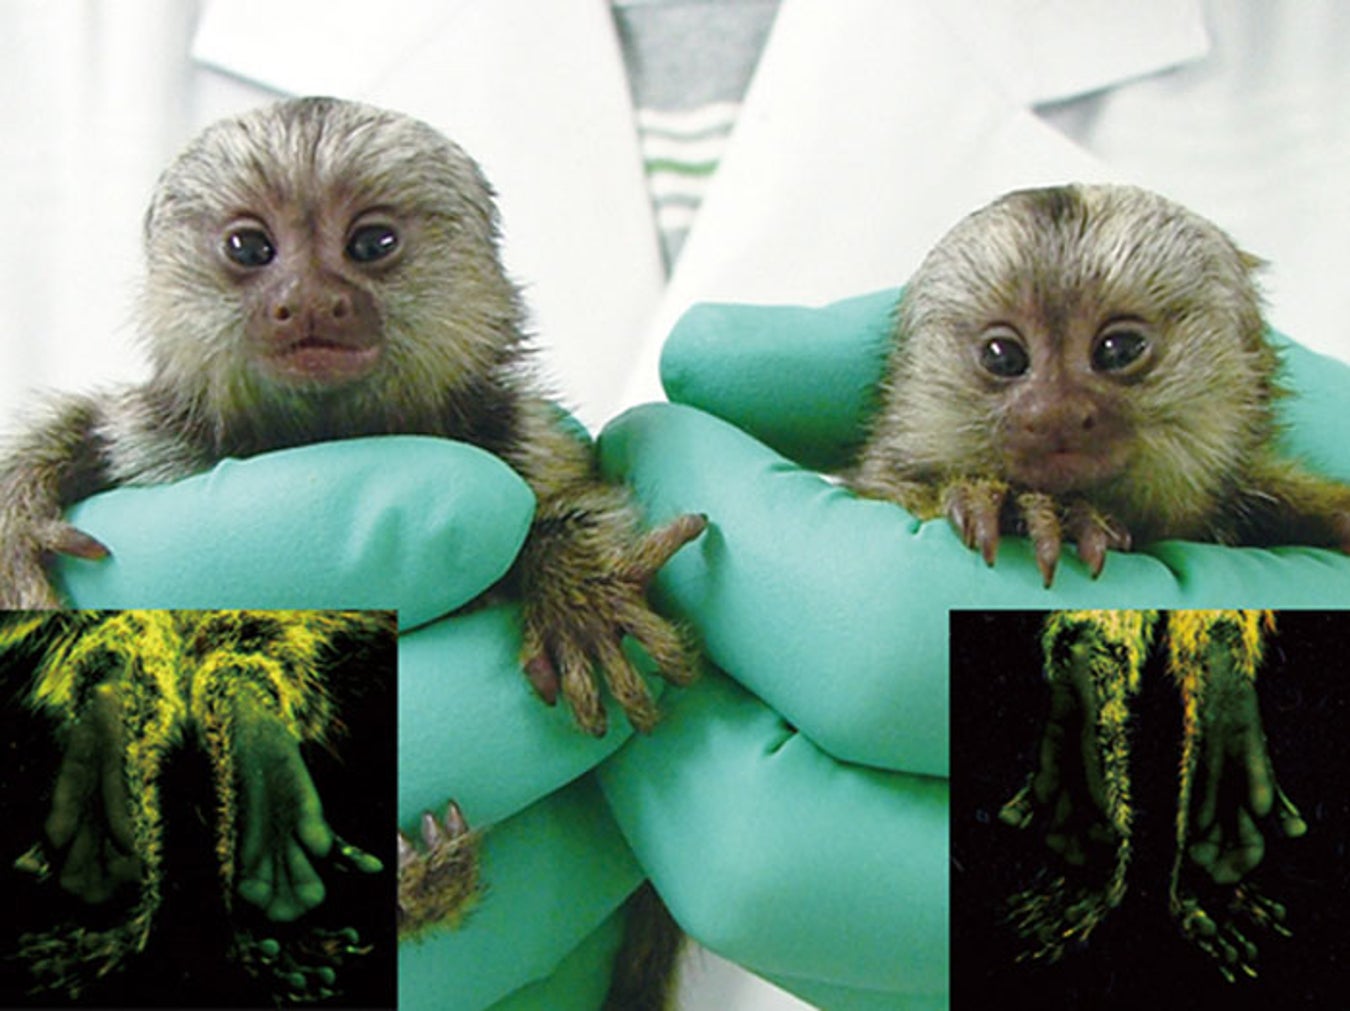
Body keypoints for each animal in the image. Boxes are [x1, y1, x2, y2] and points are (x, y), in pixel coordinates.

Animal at [0, 98, 705, 955]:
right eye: (250, 247)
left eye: (370, 244)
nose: (308, 298)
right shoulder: (154, 445)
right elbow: (84, 432)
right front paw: (18, 518)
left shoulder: (522, 443)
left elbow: (577, 506)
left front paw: (577, 598)